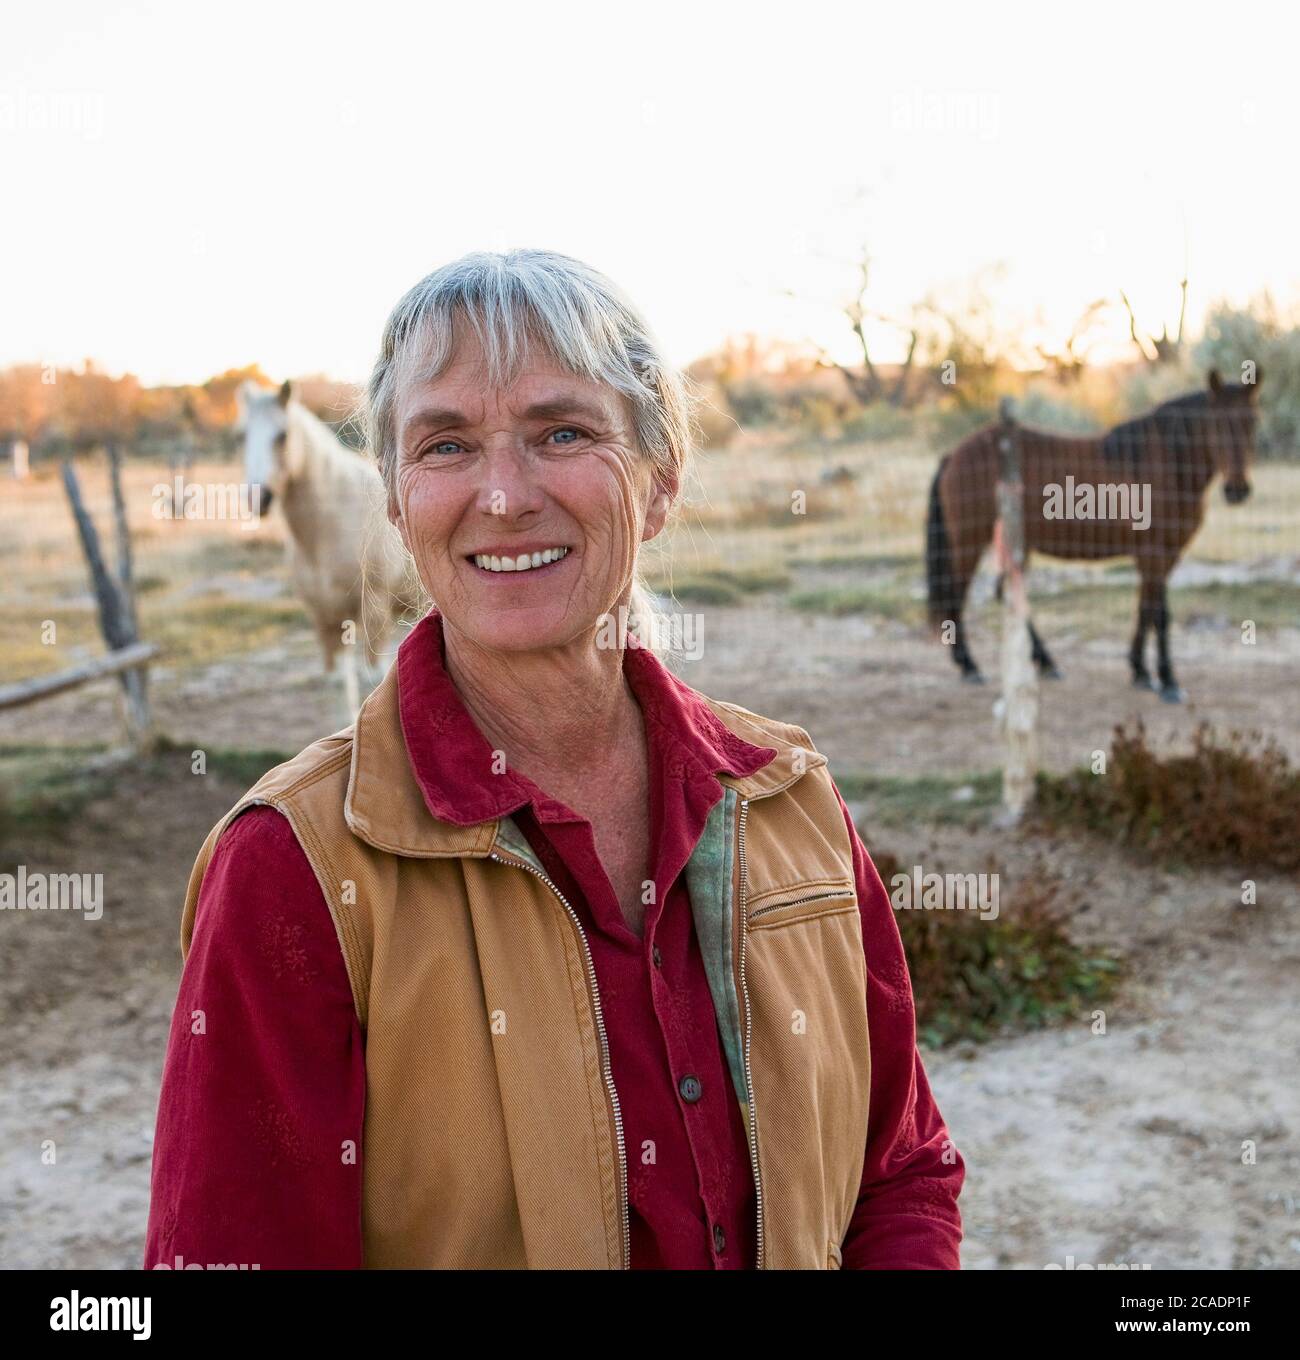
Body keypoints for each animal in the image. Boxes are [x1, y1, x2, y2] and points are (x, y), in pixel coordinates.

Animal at [925, 369, 1260, 702]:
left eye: (1252, 421)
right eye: (1217, 423)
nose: (1237, 490)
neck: (1167, 464)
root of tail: (953, 455)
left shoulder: (1164, 554)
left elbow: (1145, 608)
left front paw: (1140, 671)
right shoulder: (1154, 553)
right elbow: (1160, 614)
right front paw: (1168, 681)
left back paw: (1046, 663)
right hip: (969, 542)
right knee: (956, 594)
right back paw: (970, 666)